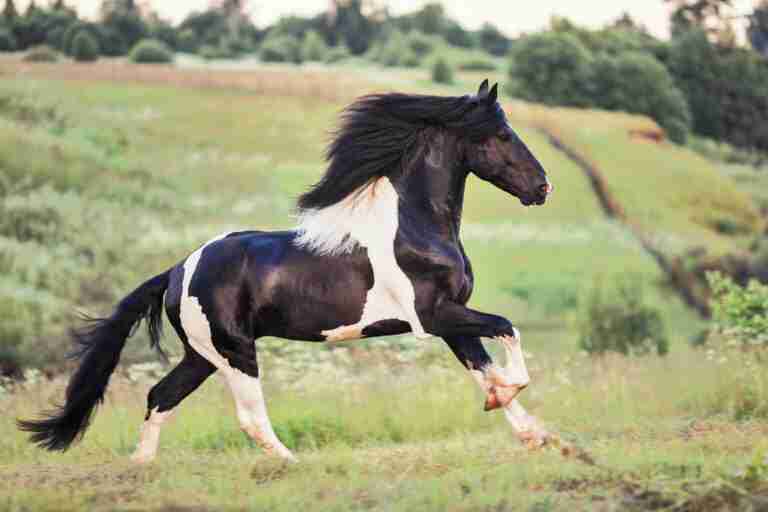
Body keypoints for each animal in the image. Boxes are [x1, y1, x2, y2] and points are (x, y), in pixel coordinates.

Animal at [19, 80, 553, 462]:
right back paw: (289, 462)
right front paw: (514, 402)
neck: (415, 226)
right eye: (503, 135)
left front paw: (533, 434)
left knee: (160, 395)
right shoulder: (434, 316)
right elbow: (509, 331)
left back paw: (142, 467)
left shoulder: (451, 319)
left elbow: (484, 371)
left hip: (202, 354)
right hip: (236, 351)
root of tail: (176, 271)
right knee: (248, 417)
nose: (543, 187)